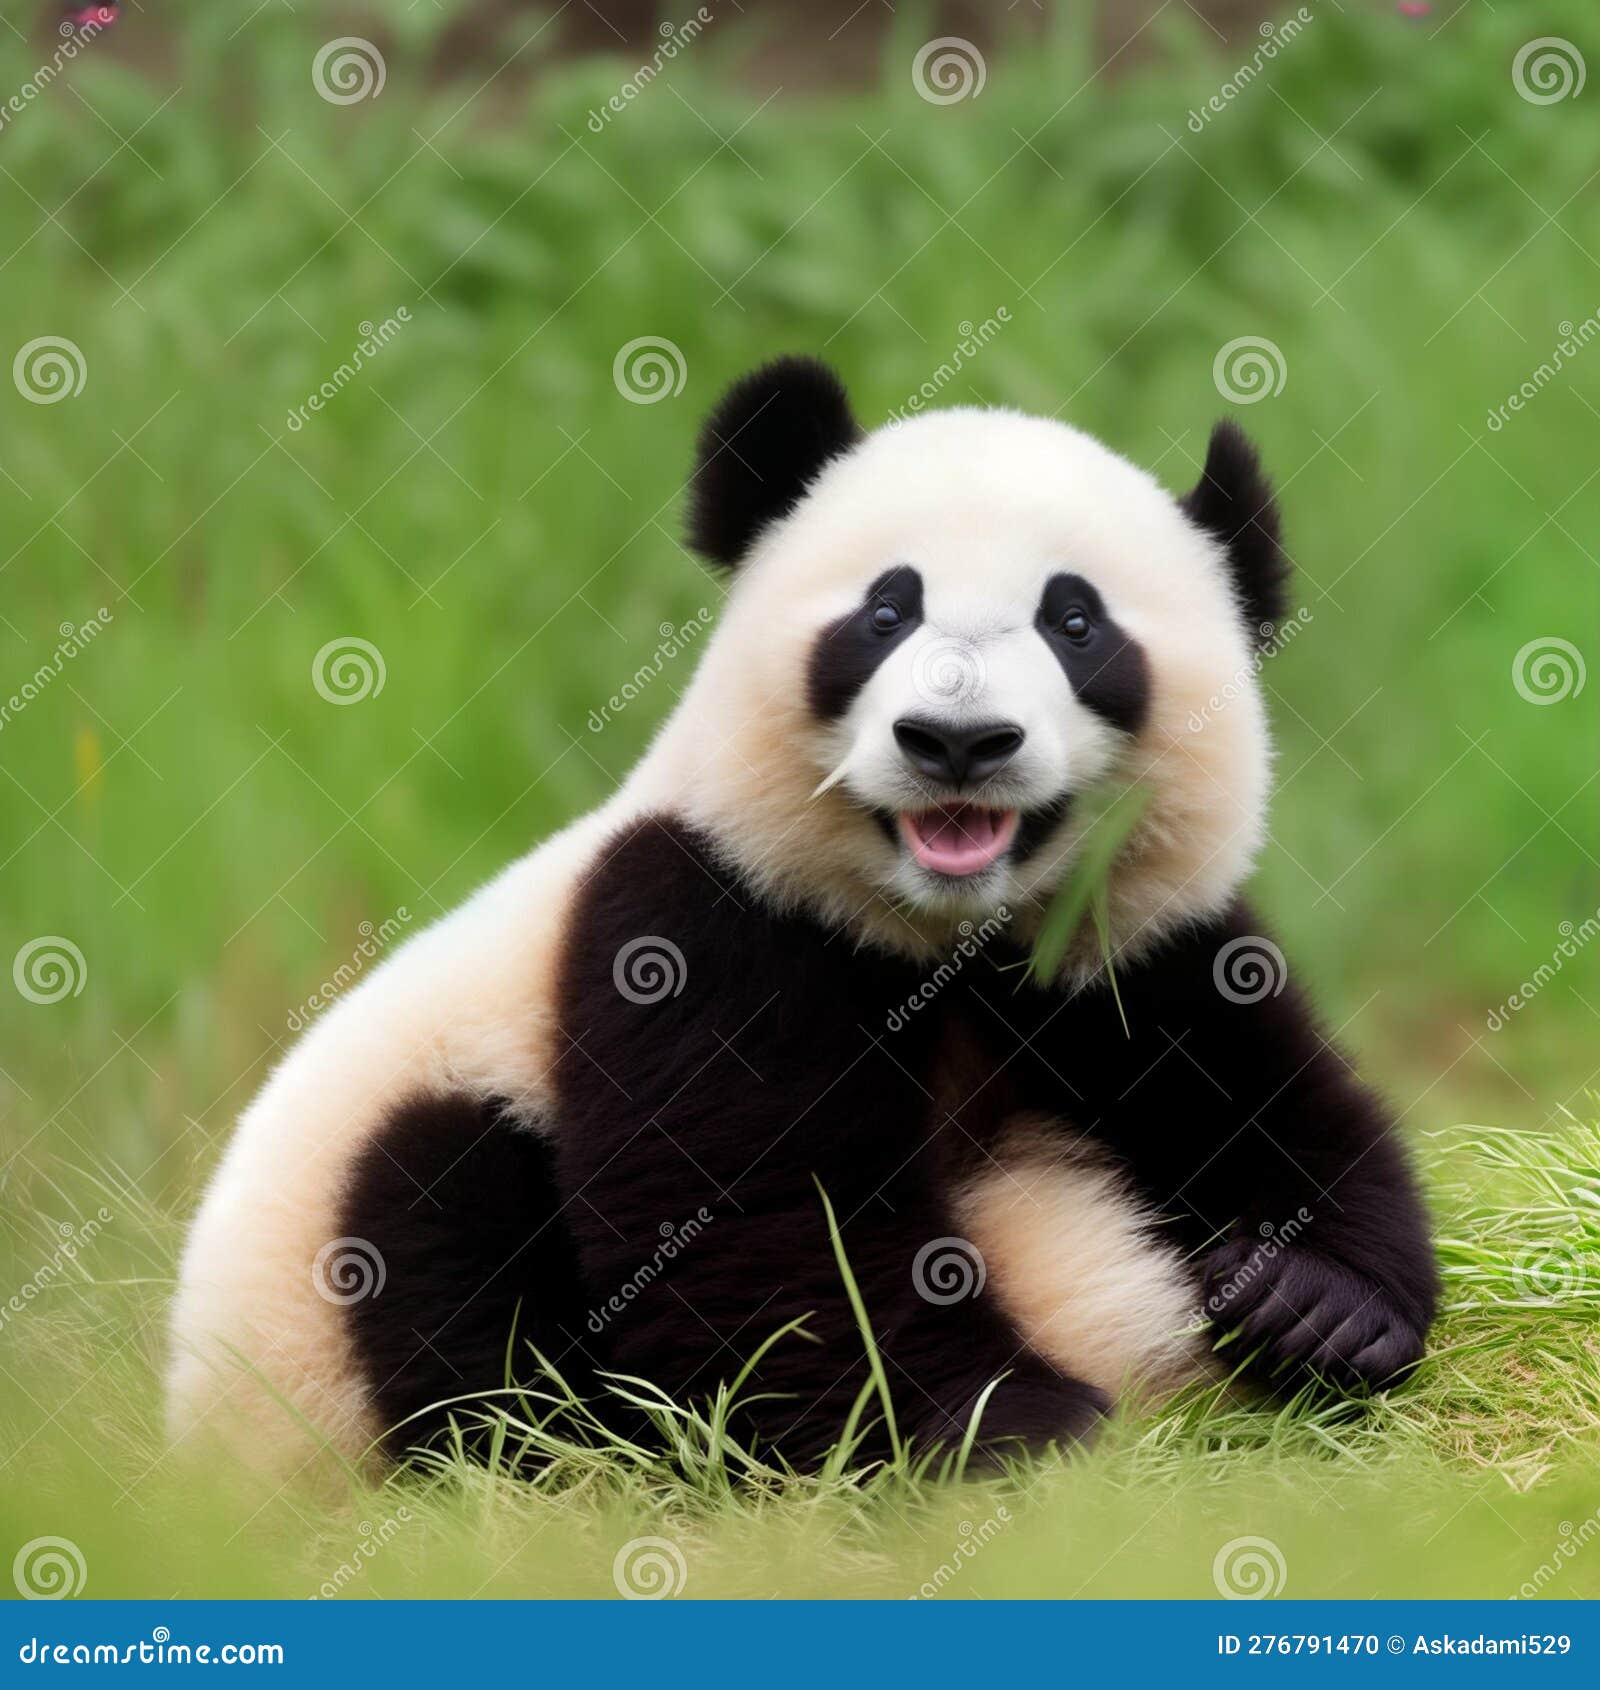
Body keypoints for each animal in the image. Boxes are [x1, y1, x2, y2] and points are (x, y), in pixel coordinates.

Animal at [168, 357, 1437, 1478]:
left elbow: (1269, 1099)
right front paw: (1007, 1427)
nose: (956, 740)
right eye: (885, 610)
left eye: (1074, 624)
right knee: (440, 1237)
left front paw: (1315, 1306)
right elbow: (763, 1231)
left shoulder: (1124, 942)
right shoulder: (697, 920)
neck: (941, 936)